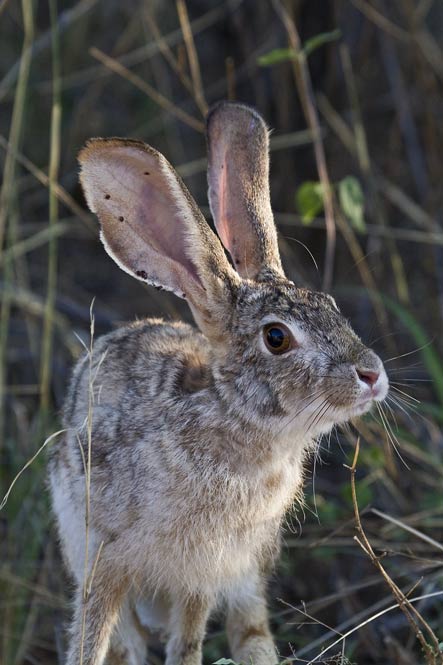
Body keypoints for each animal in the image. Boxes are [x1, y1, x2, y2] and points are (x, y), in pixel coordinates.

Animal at [49, 101, 388, 665]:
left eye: (331, 306)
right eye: (276, 337)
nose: (372, 375)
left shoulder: (204, 576)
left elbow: (187, 643)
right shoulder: (107, 555)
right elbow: (93, 636)